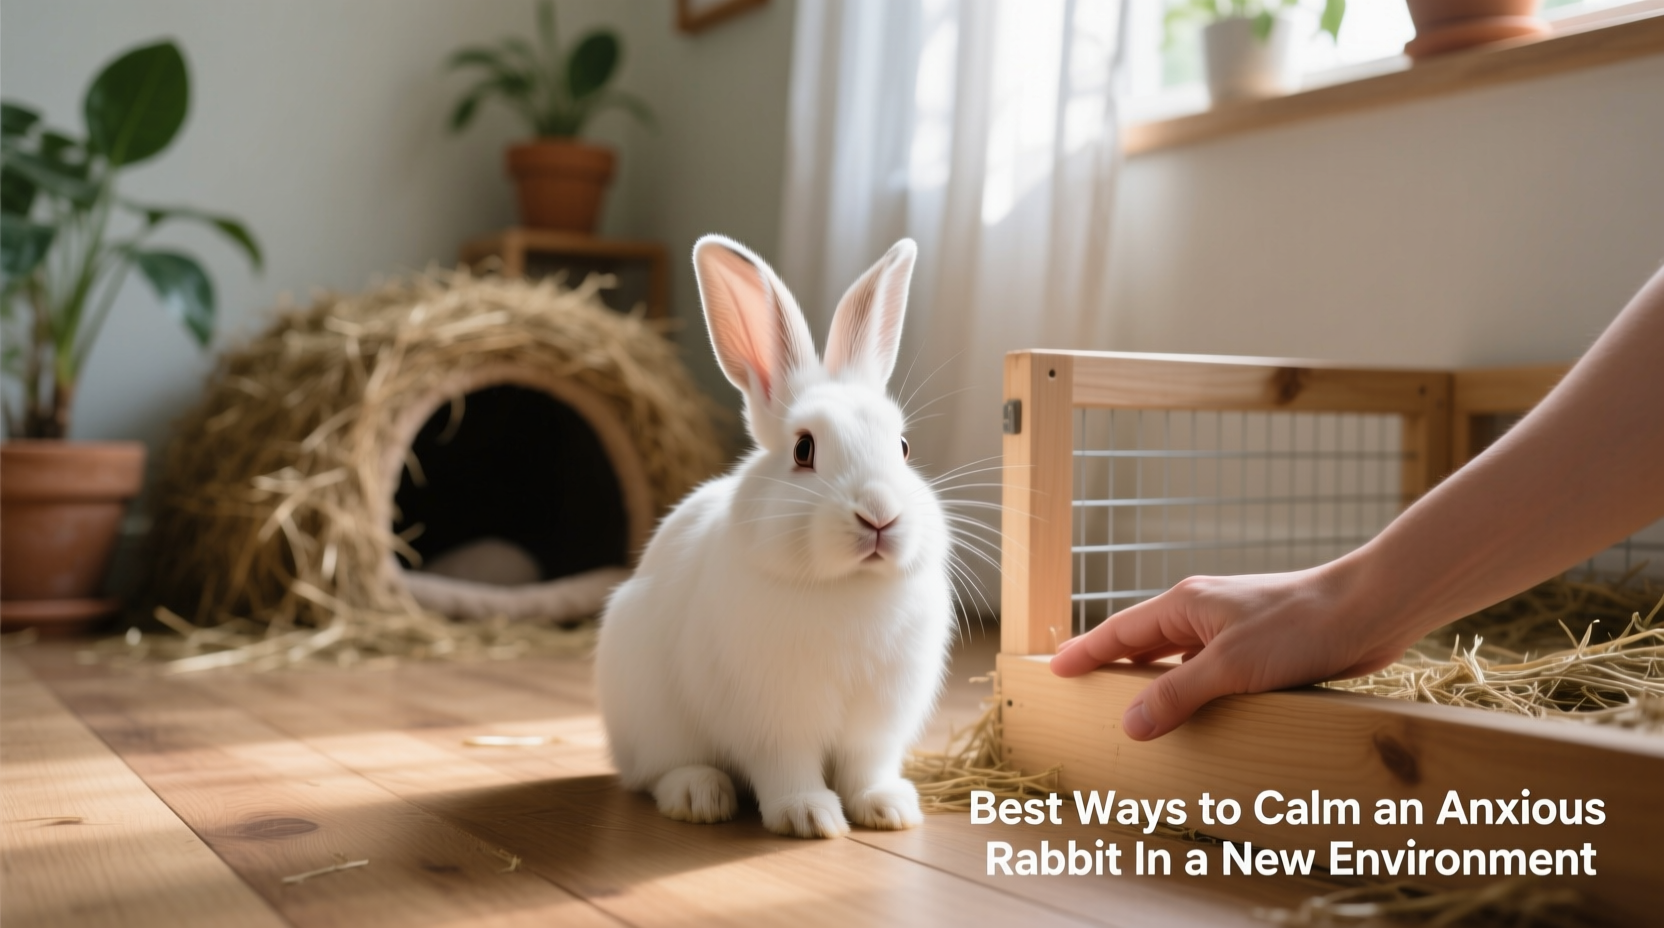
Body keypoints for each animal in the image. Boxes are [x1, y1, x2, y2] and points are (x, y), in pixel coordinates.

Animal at [594, 234, 954, 840]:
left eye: (903, 448)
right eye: (804, 449)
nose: (879, 515)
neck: (847, 588)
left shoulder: (876, 724)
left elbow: (866, 767)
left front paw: (888, 810)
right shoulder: (774, 719)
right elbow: (788, 766)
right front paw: (809, 817)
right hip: (649, 710)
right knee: (657, 770)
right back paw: (698, 796)